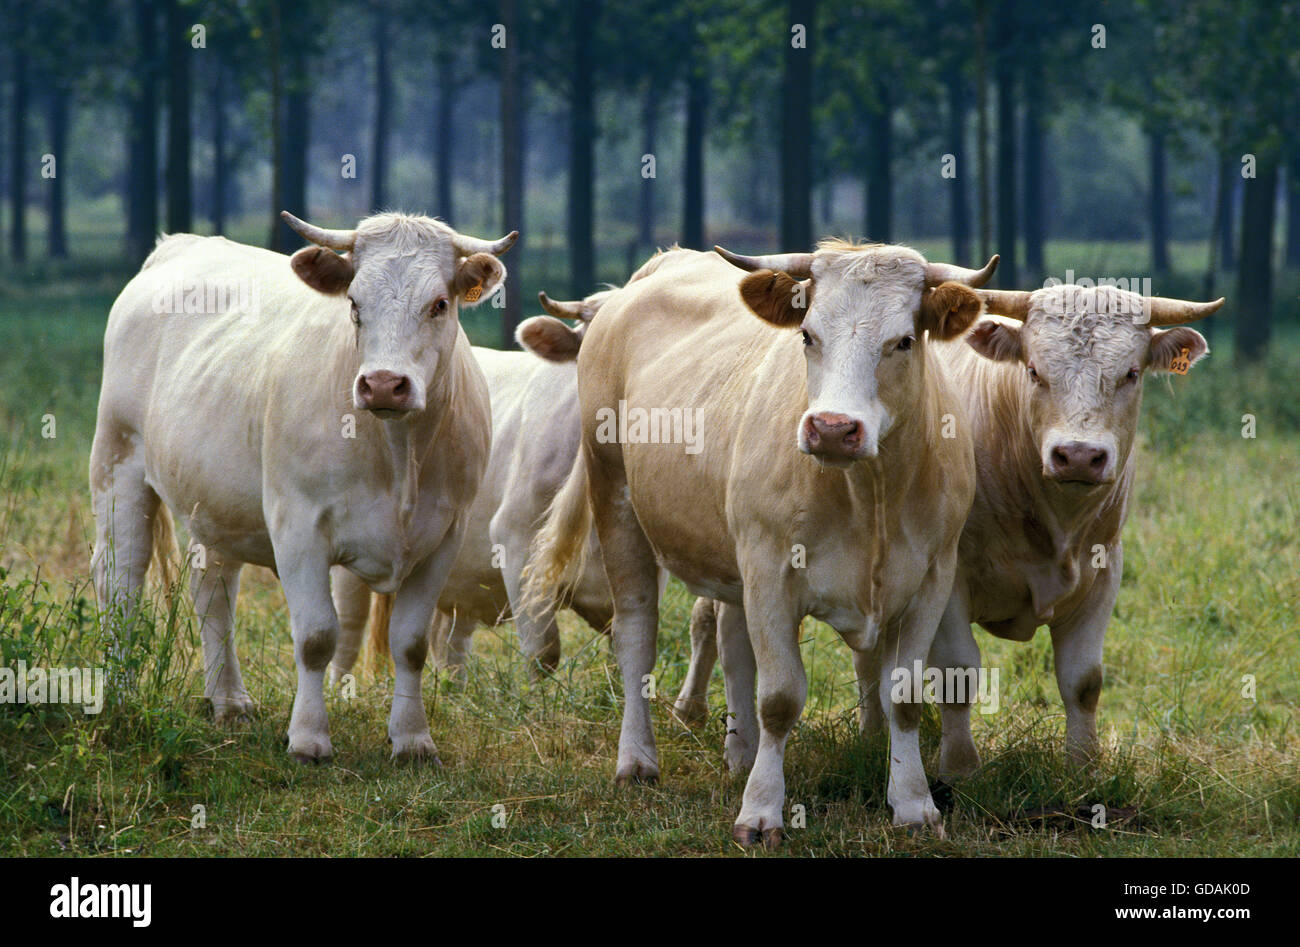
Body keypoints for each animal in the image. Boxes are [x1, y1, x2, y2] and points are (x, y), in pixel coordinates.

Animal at [89, 210, 515, 763]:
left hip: (214, 505)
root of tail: (177, 245)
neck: (398, 454)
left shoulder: (445, 535)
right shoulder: (298, 526)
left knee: (212, 593)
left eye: (439, 304)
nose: (383, 383)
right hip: (118, 460)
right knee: (119, 579)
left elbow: (411, 643)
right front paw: (309, 738)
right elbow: (316, 637)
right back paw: (120, 693)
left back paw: (229, 700)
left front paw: (413, 739)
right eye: (354, 303)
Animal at [524, 241, 998, 846]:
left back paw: (740, 753)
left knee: (730, 642)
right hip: (617, 502)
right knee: (635, 639)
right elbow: (780, 698)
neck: (869, 493)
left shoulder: (932, 578)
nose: (832, 427)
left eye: (903, 341)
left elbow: (905, 696)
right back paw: (637, 760)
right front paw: (762, 810)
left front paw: (914, 805)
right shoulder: (771, 569)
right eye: (808, 335)